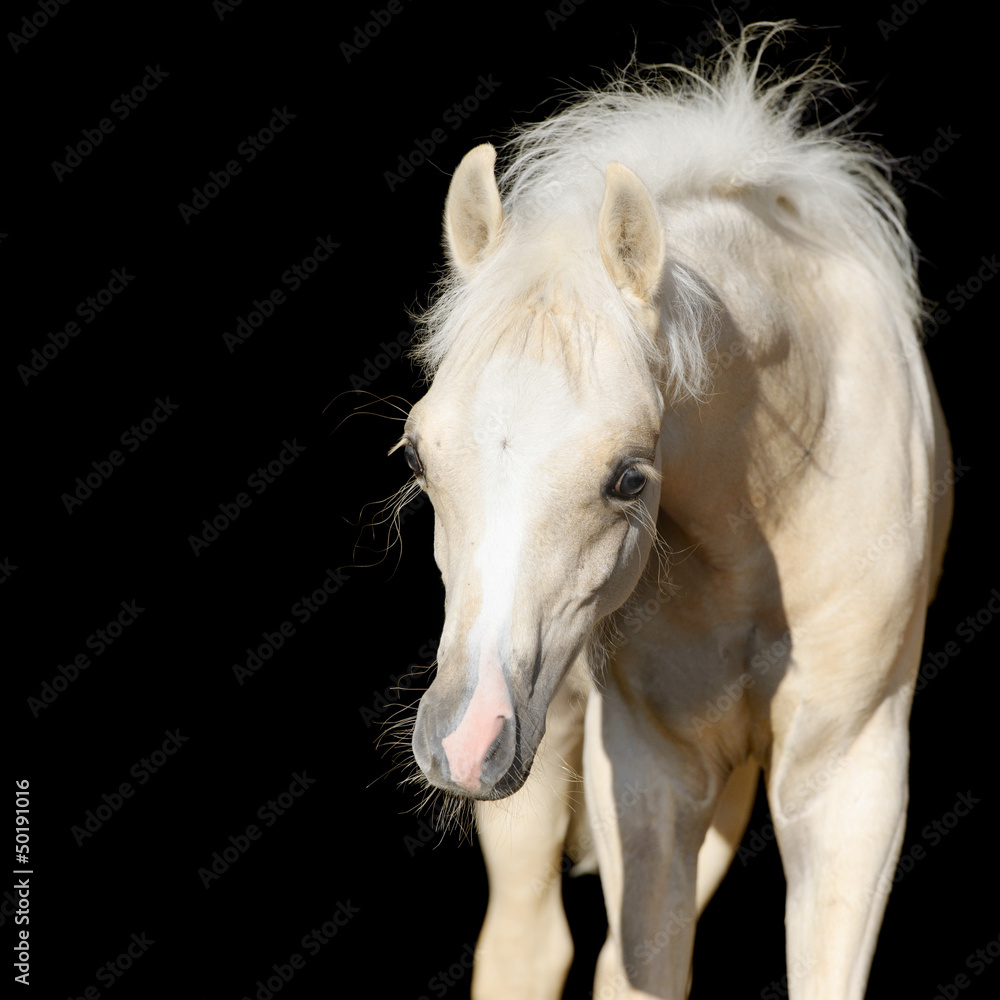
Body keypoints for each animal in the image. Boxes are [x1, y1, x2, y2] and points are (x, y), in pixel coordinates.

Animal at [392, 24, 953, 1000]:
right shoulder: (648, 768)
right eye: (420, 456)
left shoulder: (850, 773)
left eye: (628, 478)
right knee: (530, 944)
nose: (465, 740)